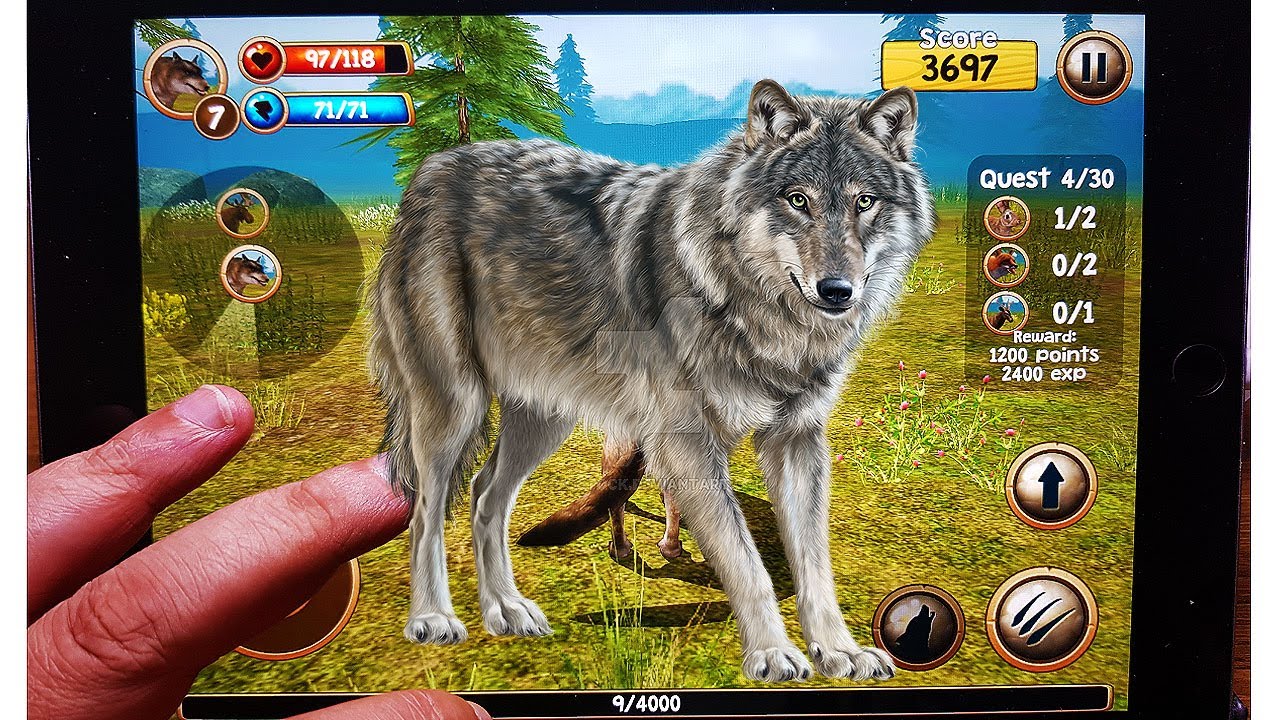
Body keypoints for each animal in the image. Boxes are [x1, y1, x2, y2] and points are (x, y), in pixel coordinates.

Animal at [368, 79, 935, 682]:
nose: (837, 291)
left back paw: (506, 609)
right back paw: (433, 618)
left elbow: (814, 564)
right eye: (797, 199)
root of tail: (433, 169)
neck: (758, 313)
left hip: (544, 420)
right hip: (456, 407)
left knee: (483, 496)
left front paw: (839, 650)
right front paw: (770, 653)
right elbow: (746, 561)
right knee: (424, 513)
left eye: (864, 202)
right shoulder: (687, 445)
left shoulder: (797, 440)